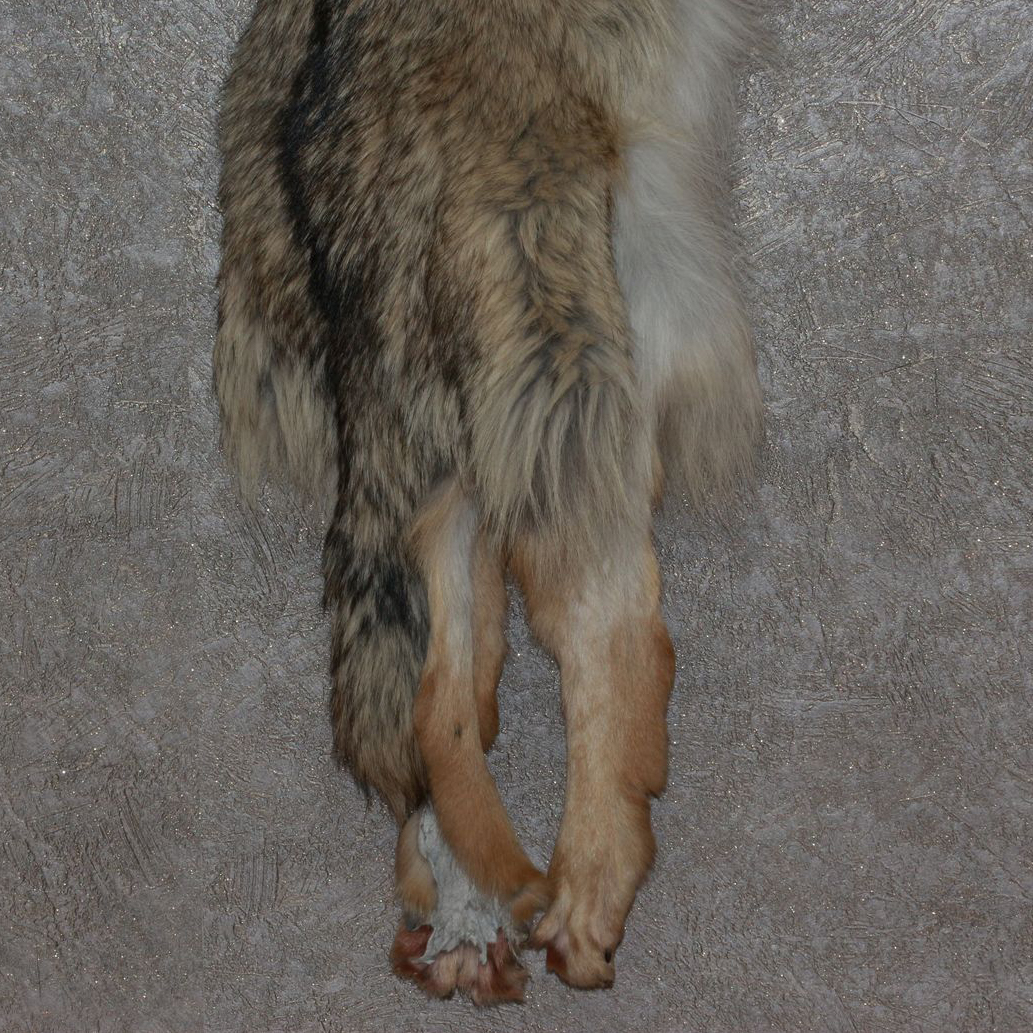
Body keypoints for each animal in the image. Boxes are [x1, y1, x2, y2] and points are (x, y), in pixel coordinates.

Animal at [215, 0, 761, 1003]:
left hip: (435, 444)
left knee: (437, 702)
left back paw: (463, 922)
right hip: (557, 332)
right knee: (605, 637)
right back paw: (586, 888)